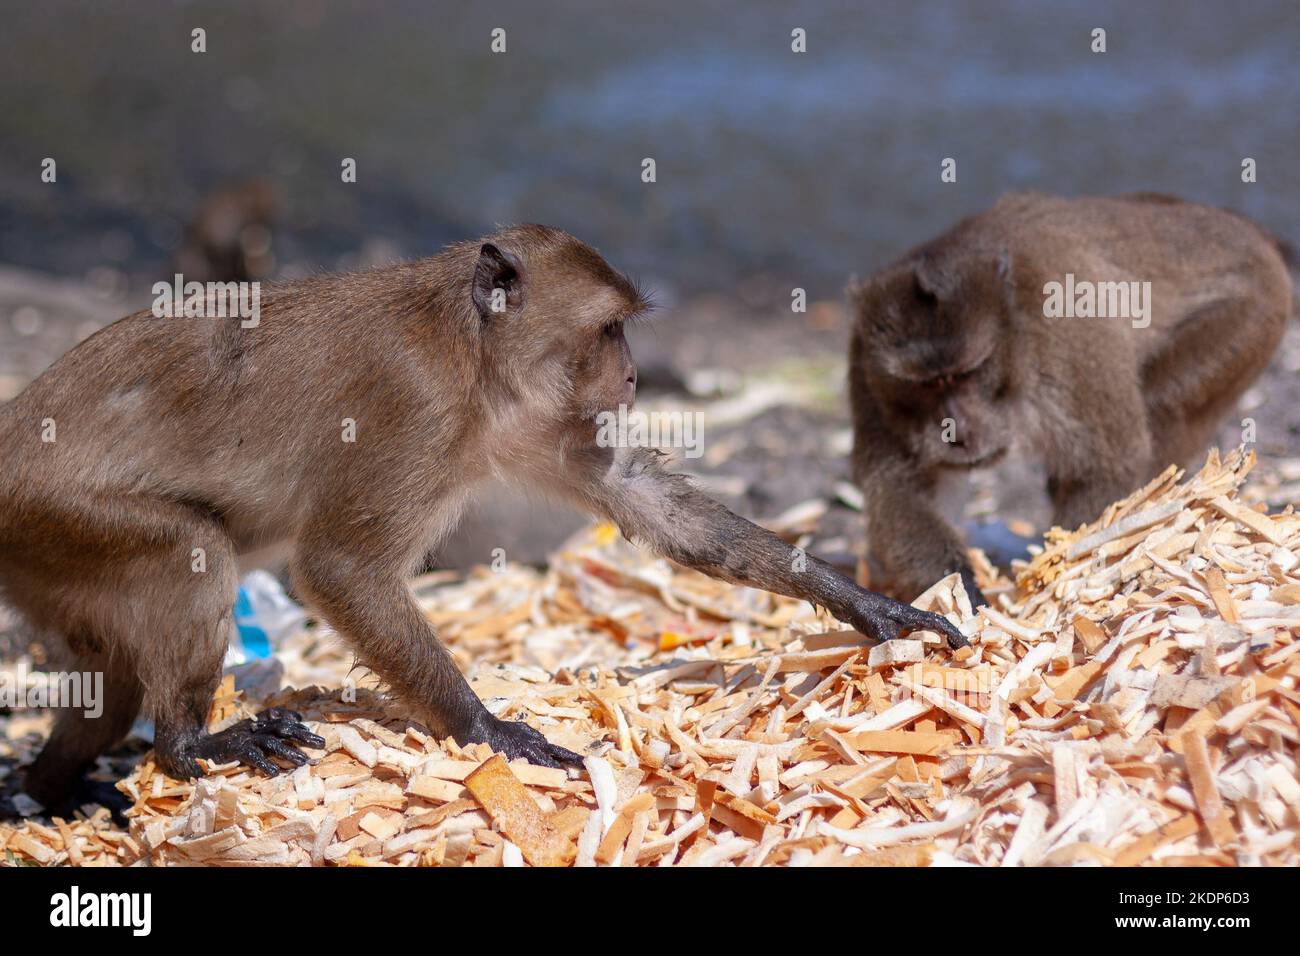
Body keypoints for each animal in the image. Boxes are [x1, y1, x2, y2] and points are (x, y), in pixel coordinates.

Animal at [0, 224, 966, 812]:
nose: (632, 376)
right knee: (190, 545)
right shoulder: (412, 403)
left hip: (46, 554)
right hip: (57, 516)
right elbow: (340, 569)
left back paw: (51, 786)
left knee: (108, 674)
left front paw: (873, 608)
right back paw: (184, 748)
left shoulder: (543, 420)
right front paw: (485, 730)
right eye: (609, 330)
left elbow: (650, 505)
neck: (470, 354)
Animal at [848, 192, 1294, 606]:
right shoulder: (867, 368)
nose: (956, 433)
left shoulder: (1065, 328)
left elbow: (1106, 466)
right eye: (926, 385)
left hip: (1253, 314)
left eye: (965, 373)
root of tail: (1248, 230)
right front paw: (958, 594)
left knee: (1160, 409)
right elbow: (901, 493)